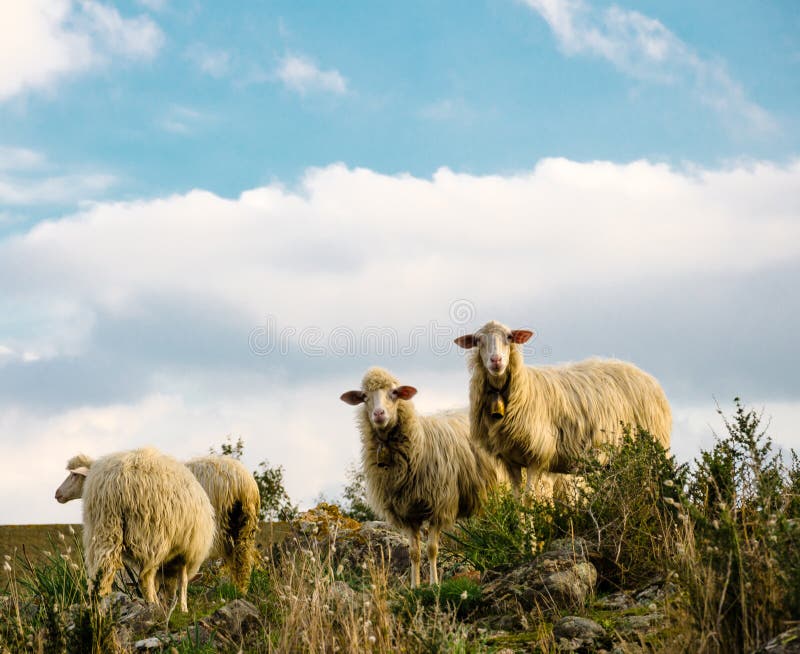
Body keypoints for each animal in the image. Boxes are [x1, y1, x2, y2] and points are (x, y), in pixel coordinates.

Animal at [54, 447, 215, 613]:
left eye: (74, 475)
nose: (57, 493)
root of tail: (117, 481)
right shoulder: (186, 553)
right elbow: (182, 583)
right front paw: (183, 609)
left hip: (104, 526)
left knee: (101, 571)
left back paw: (98, 605)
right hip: (151, 533)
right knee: (144, 579)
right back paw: (153, 606)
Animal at [340, 366, 497, 587]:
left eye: (394, 393)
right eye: (364, 397)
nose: (378, 414)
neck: (419, 441)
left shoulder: (440, 505)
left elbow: (431, 549)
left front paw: (433, 584)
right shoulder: (406, 513)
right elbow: (414, 552)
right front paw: (414, 586)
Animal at [454, 320, 672, 499]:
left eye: (509, 337)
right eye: (478, 340)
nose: (496, 360)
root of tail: (649, 378)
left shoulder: (538, 455)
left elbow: (529, 498)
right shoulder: (510, 460)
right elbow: (517, 501)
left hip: (649, 451)